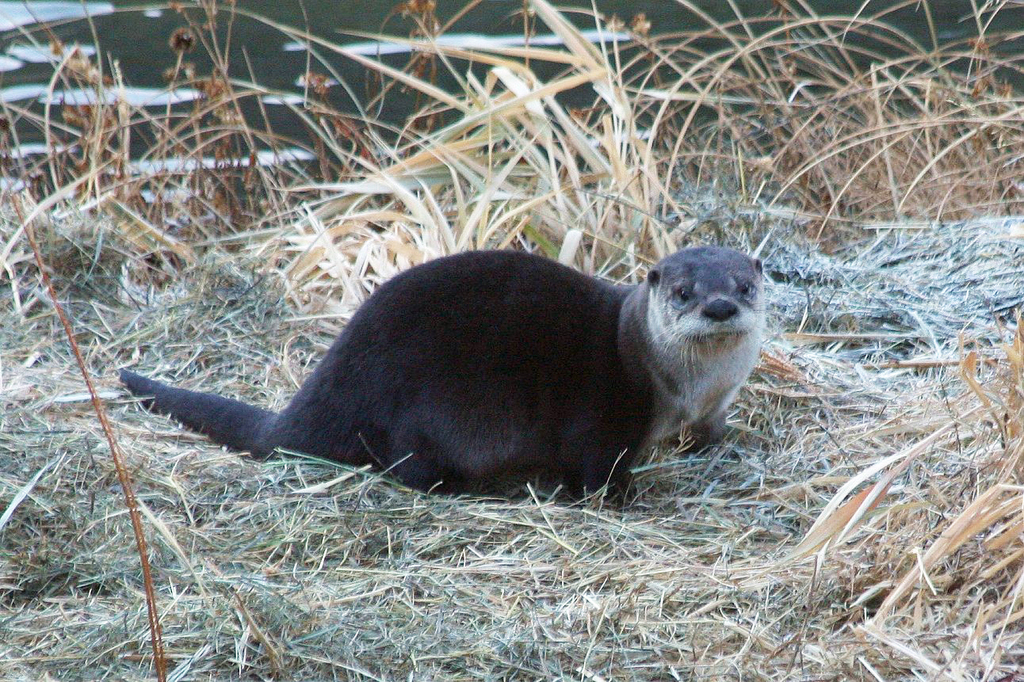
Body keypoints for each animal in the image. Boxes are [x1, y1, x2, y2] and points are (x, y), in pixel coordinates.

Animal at [120, 247, 764, 495]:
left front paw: (715, 448)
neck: (678, 389)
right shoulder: (605, 412)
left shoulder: (715, 404)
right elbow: (595, 467)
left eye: (745, 286)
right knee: (407, 467)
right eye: (682, 292)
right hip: (426, 416)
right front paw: (623, 498)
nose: (718, 306)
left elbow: (710, 435)